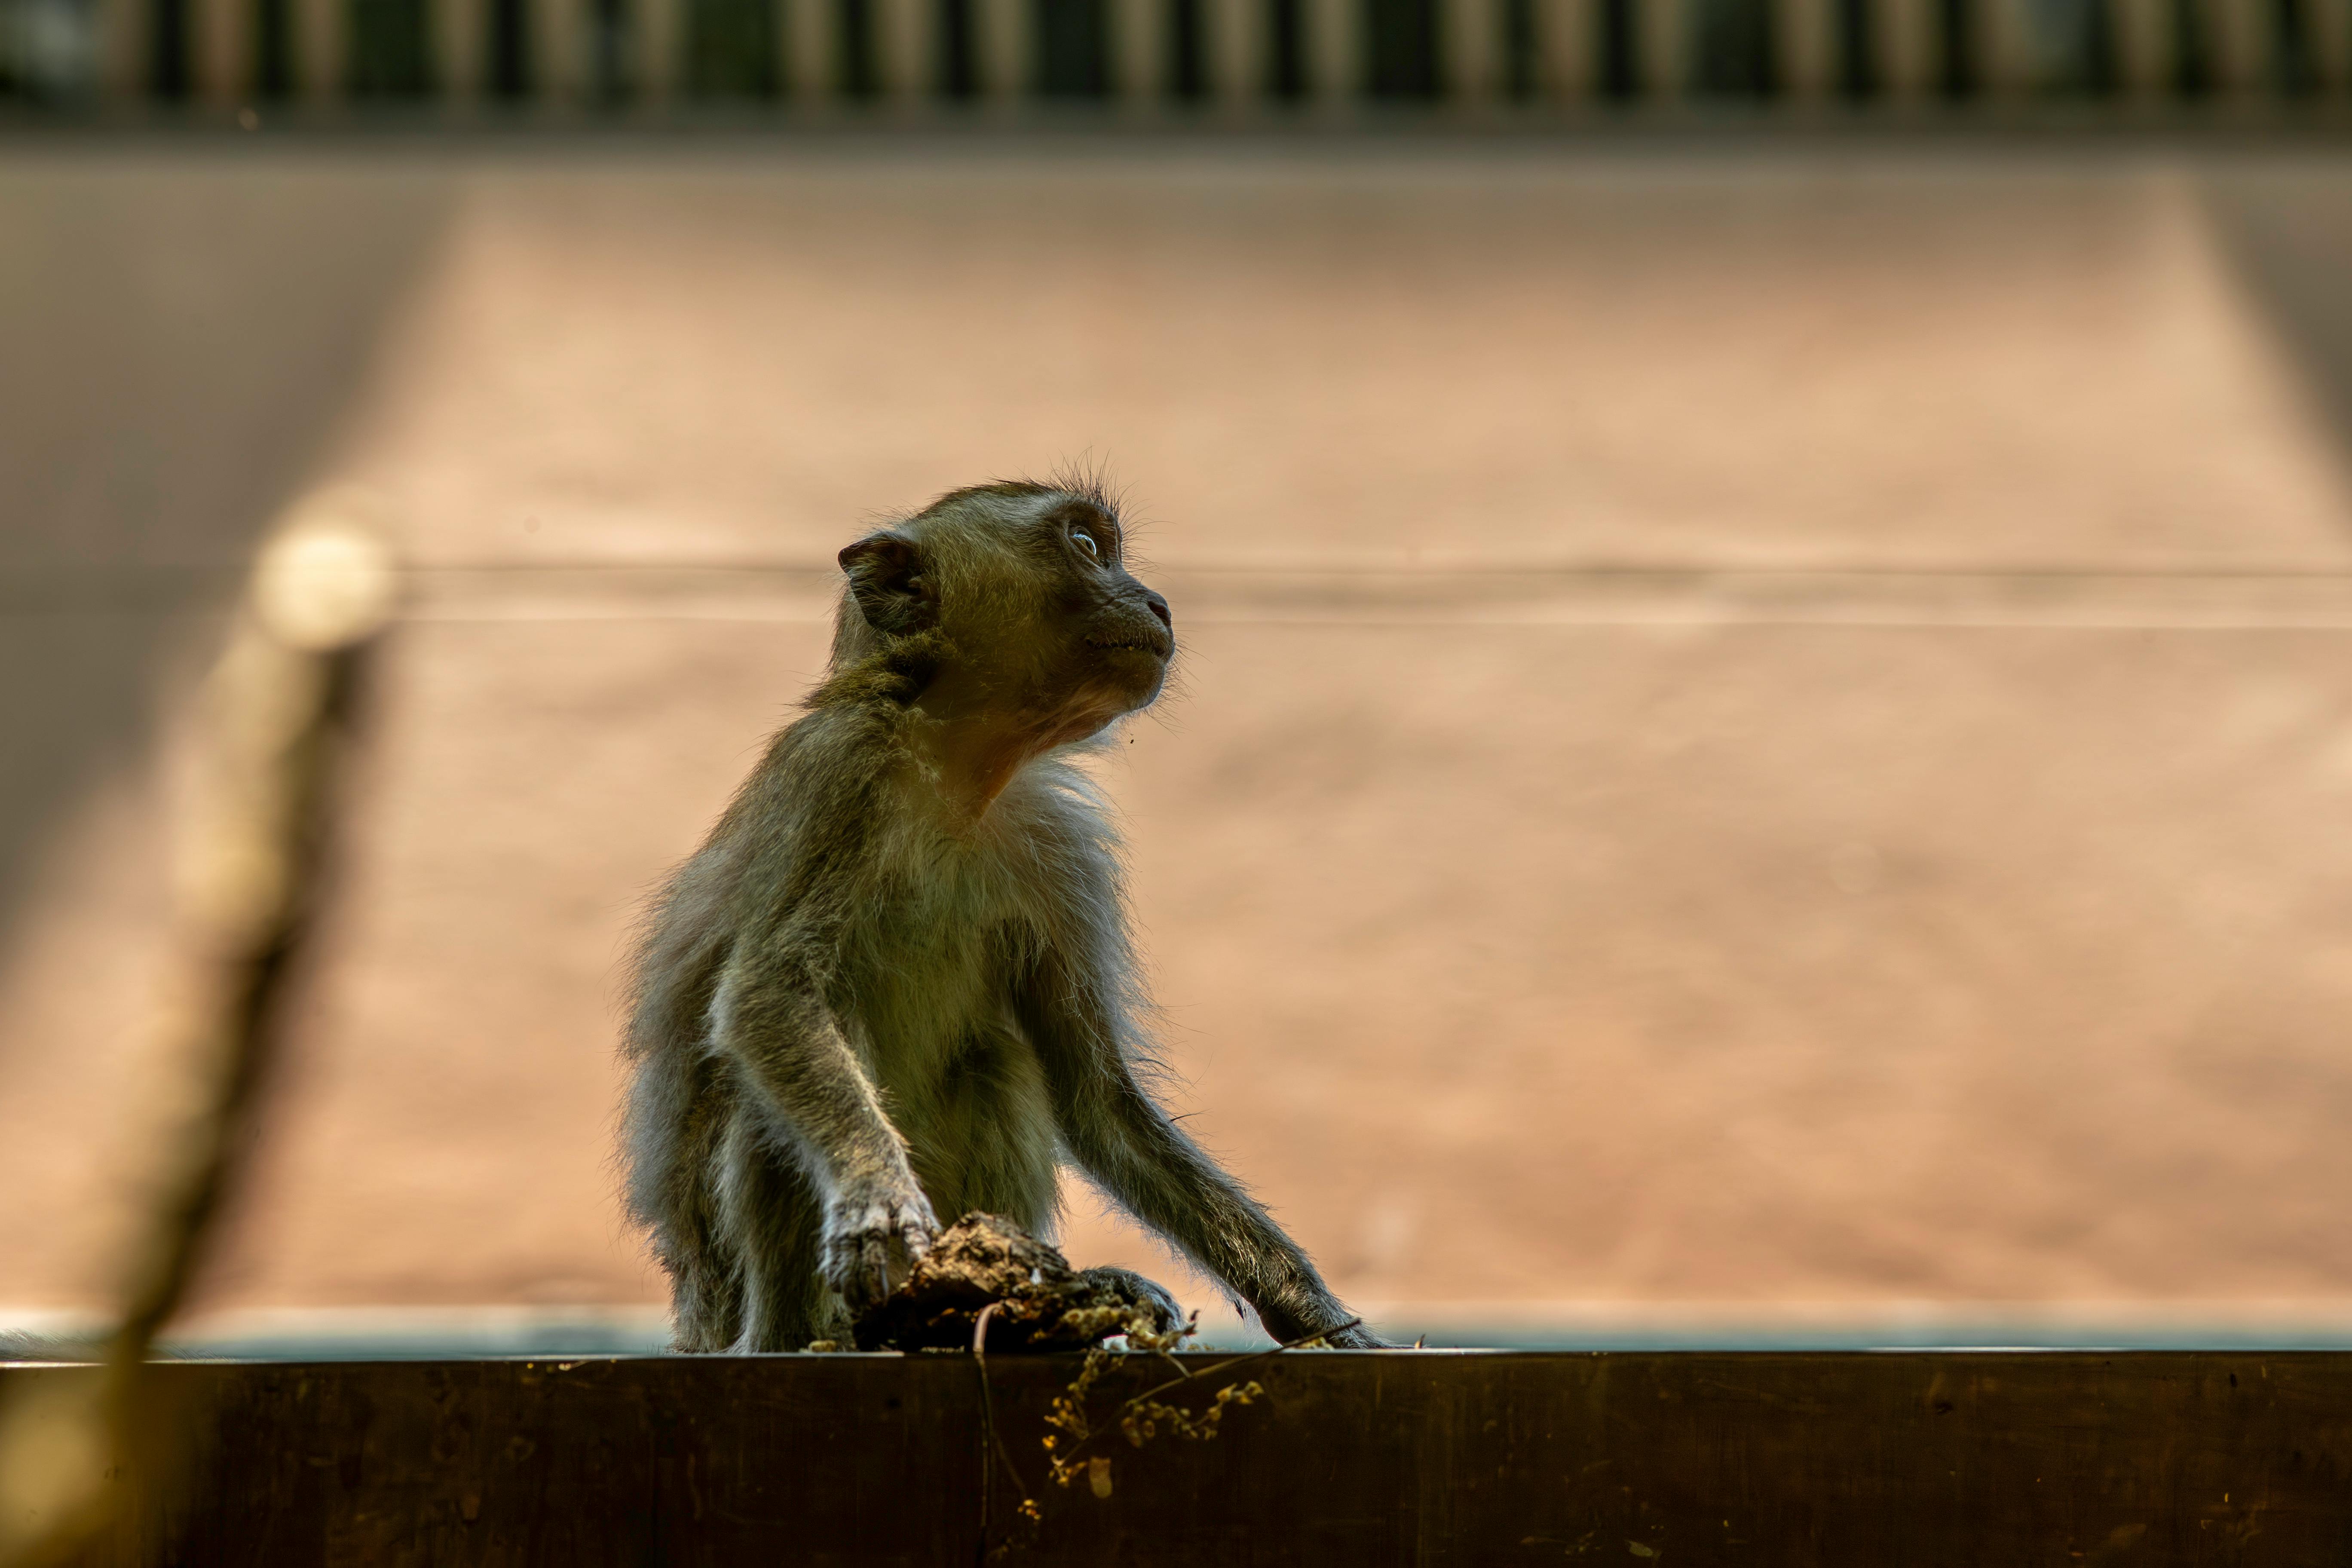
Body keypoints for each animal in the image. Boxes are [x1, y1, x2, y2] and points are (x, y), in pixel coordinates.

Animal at [619, 477, 1383, 1353]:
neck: (956, 770)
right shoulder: (837, 769)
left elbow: (1096, 1097)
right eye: (1086, 546)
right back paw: (815, 1335)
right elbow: (767, 994)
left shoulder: (1057, 848)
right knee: (770, 1075)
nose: (1157, 602)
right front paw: (876, 1198)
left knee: (996, 1063)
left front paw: (1314, 1312)